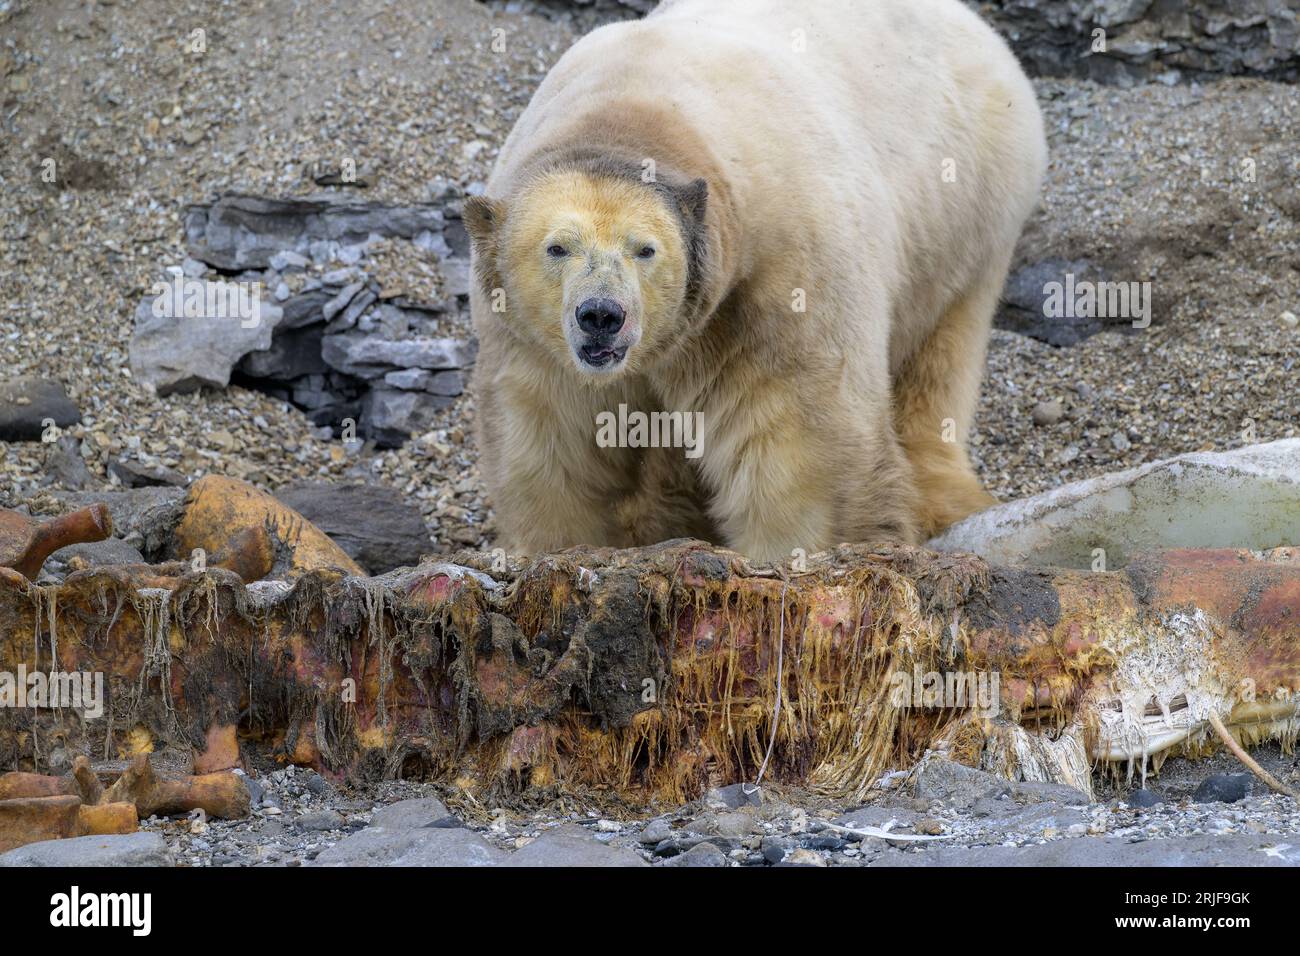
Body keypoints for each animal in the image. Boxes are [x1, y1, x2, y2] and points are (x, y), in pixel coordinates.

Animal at [465, 0, 1047, 563]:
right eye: (557, 247)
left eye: (645, 249)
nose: (602, 315)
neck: (633, 112)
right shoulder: (529, 337)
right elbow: (551, 440)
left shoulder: (778, 266)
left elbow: (797, 427)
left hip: (968, 216)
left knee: (938, 358)